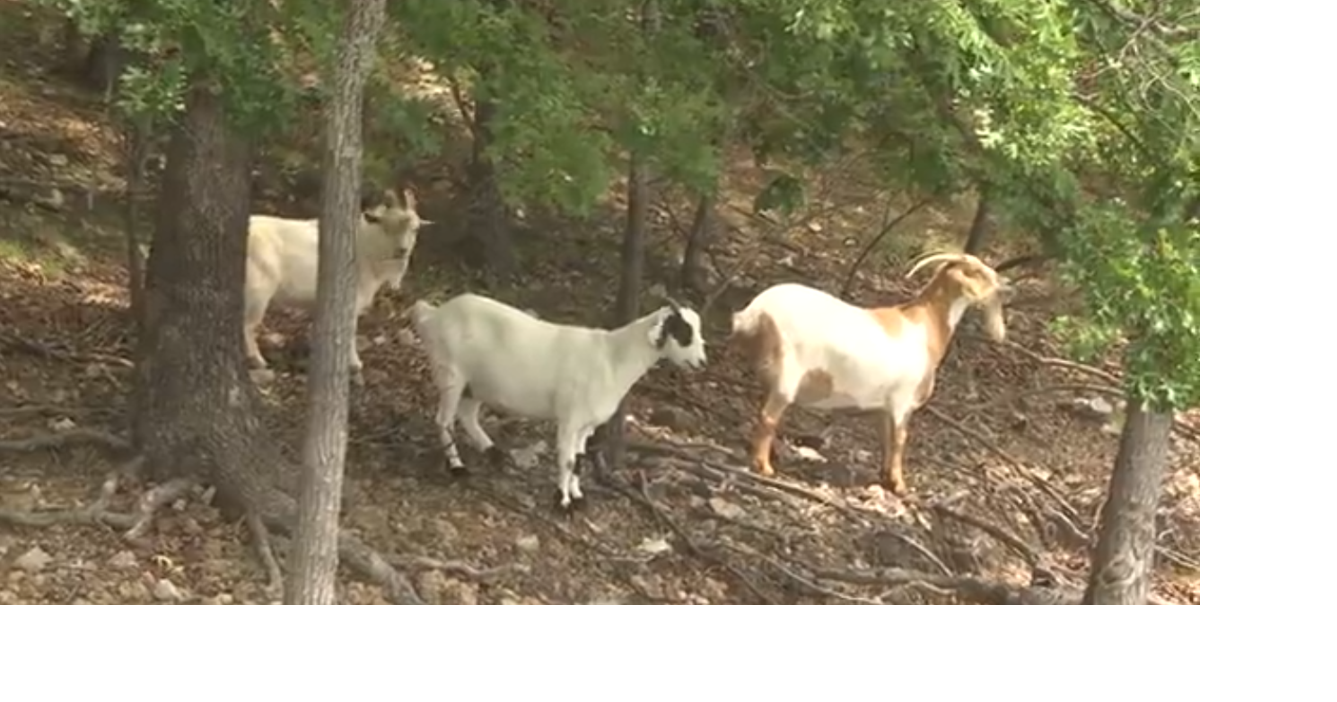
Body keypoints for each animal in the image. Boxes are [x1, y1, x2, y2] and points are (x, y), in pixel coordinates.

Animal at [243, 188, 431, 378]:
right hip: (258, 290)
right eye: (386, 226)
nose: (402, 251)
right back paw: (258, 360)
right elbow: (349, 331)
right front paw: (355, 364)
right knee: (248, 325)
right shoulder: (351, 300)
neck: (366, 247)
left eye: (415, 229)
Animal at [410, 292, 708, 510]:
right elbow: (566, 460)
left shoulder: (586, 425)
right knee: (444, 420)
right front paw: (562, 502)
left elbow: (579, 459)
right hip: (451, 374)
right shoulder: (570, 417)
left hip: (476, 385)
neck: (612, 358)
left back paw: (493, 452)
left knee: (467, 415)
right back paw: (457, 467)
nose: (702, 362)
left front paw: (578, 498)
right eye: (684, 331)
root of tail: (433, 314)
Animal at [729, 252, 1011, 496]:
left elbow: (885, 439)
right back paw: (764, 468)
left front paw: (885, 477)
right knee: (768, 417)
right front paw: (899, 486)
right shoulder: (902, 402)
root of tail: (755, 312)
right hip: (788, 375)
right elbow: (900, 440)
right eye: (976, 271)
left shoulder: (883, 408)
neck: (924, 325)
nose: (1006, 287)